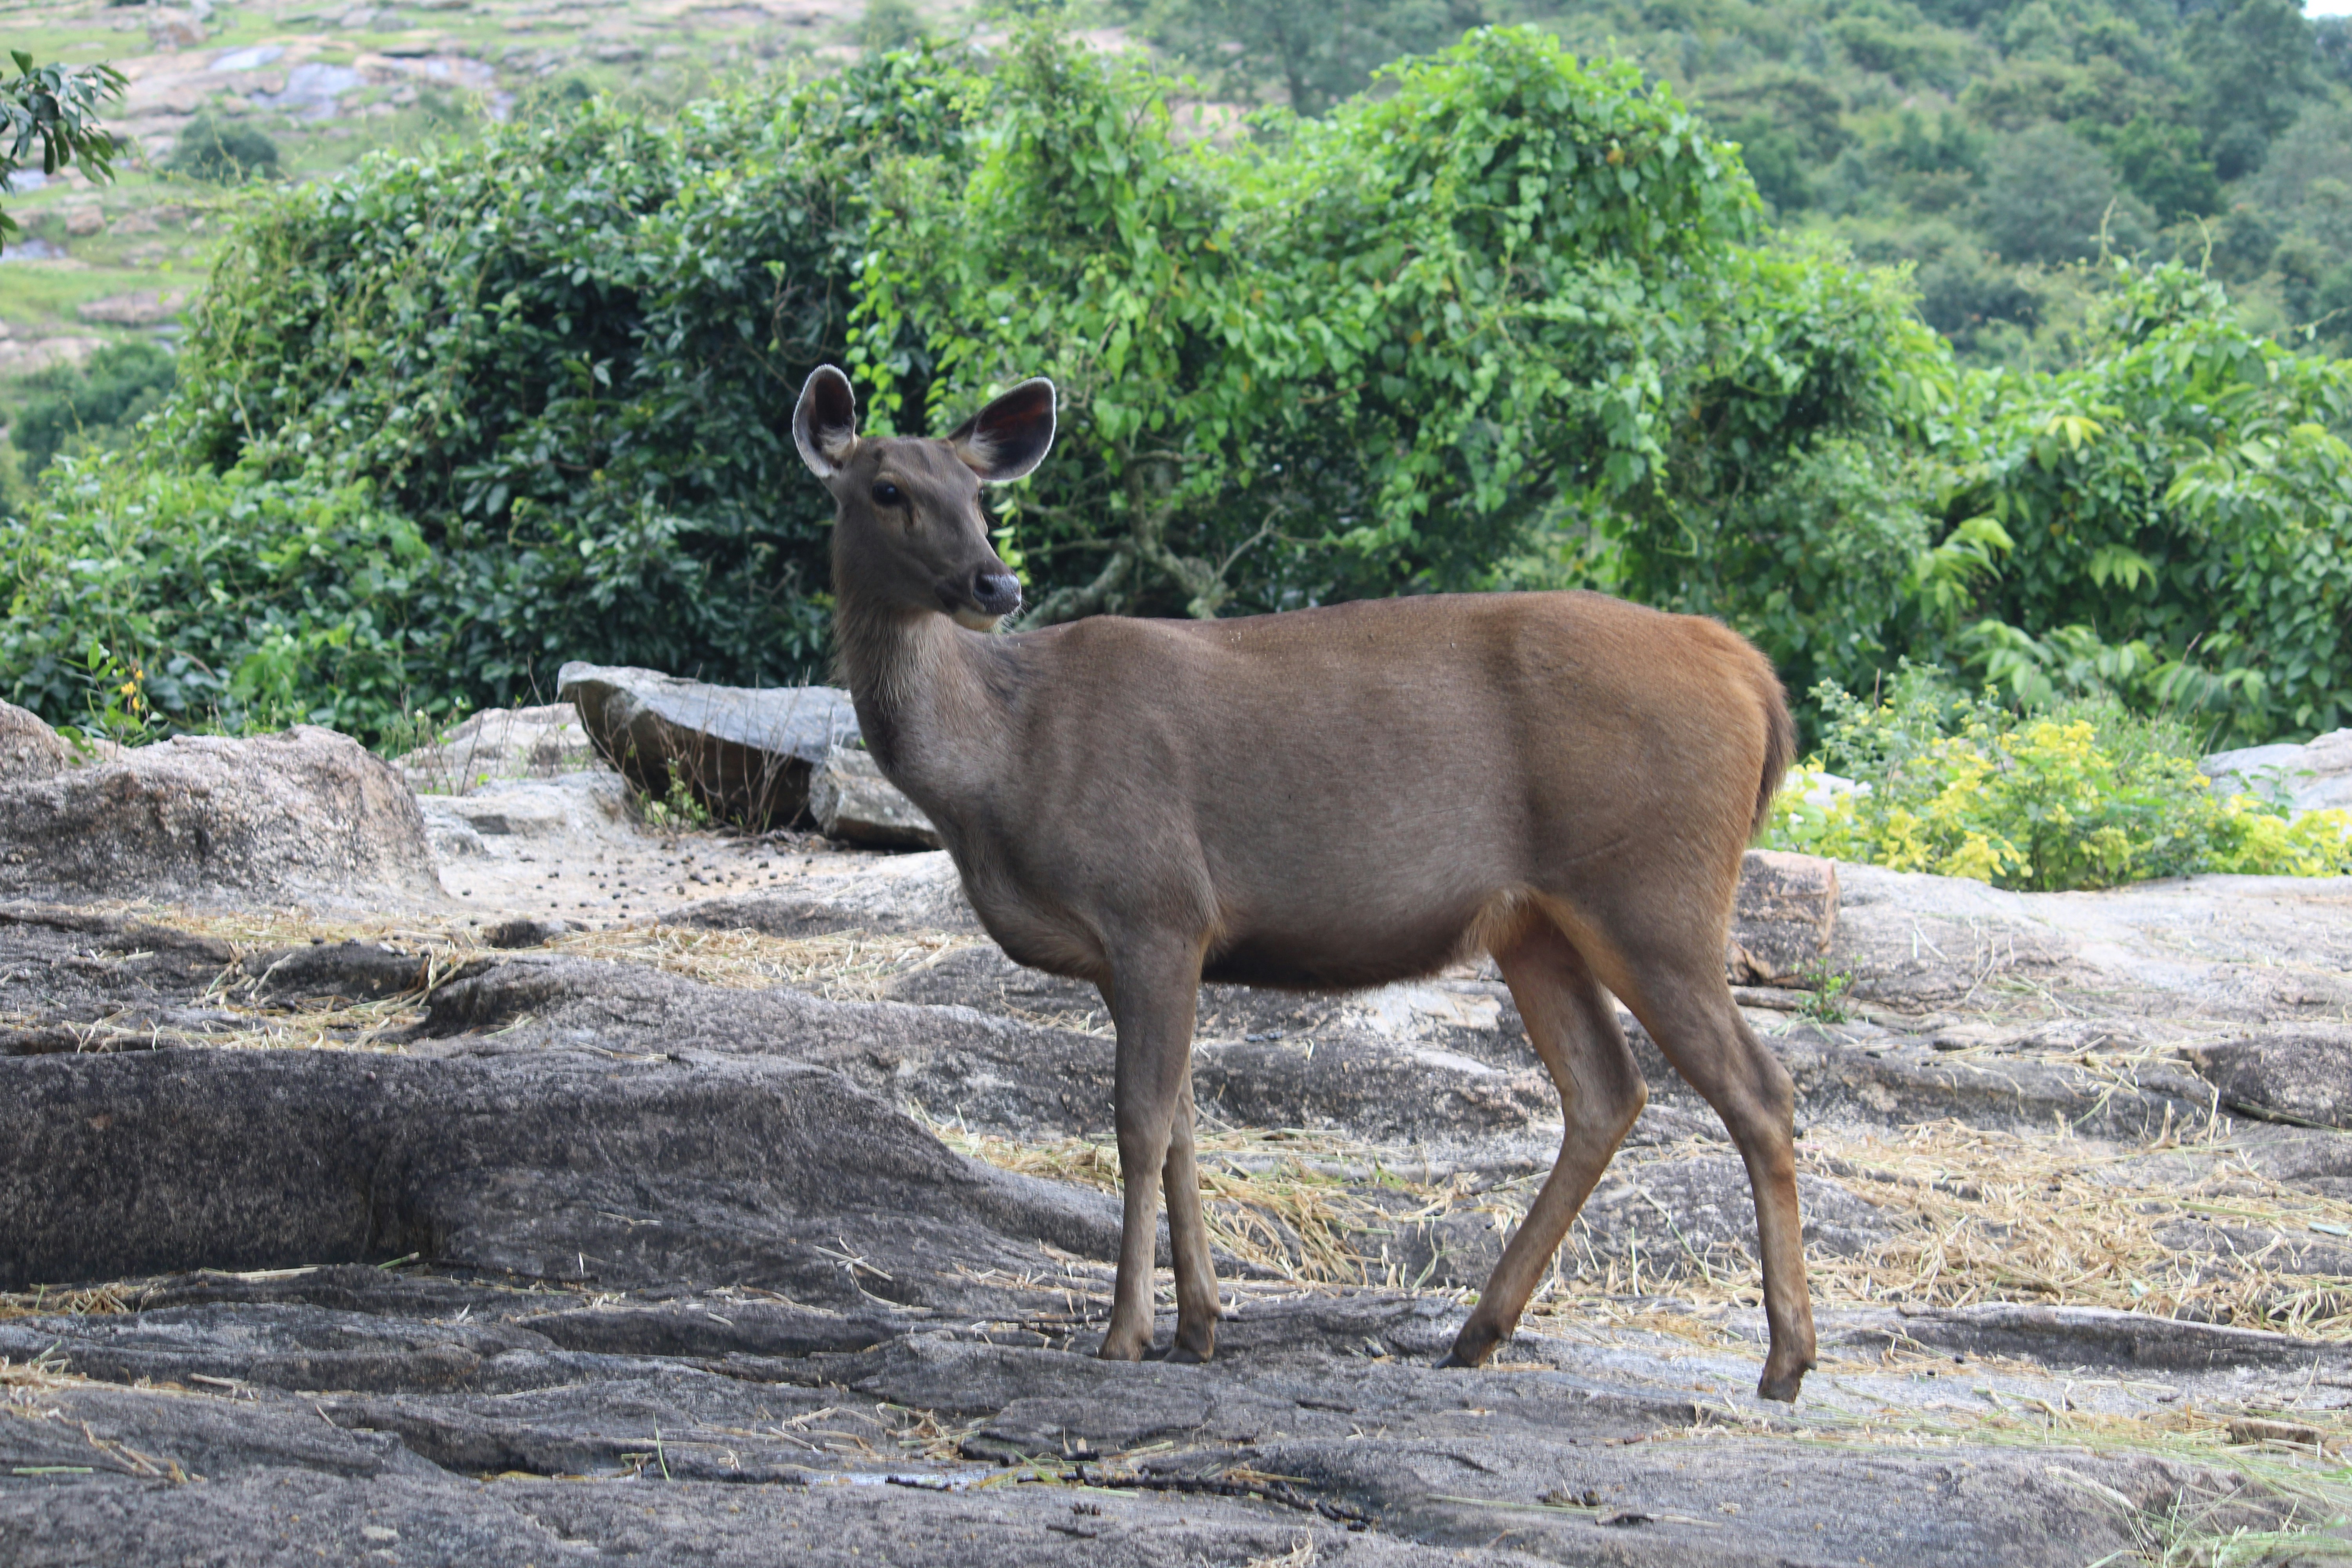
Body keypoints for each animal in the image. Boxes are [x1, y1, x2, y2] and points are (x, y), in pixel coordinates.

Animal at [793, 364, 1817, 1402]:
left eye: (978, 495)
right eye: (889, 489)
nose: (994, 581)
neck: (1003, 761)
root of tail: (1753, 678)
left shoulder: (1155, 902)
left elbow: (1138, 1123)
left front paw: (1124, 1332)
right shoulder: (1140, 949)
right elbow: (1183, 1125)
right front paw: (1201, 1323)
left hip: (1655, 887)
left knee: (1760, 1088)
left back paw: (1784, 1360)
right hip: (1538, 922)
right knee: (1607, 1091)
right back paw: (1478, 1330)